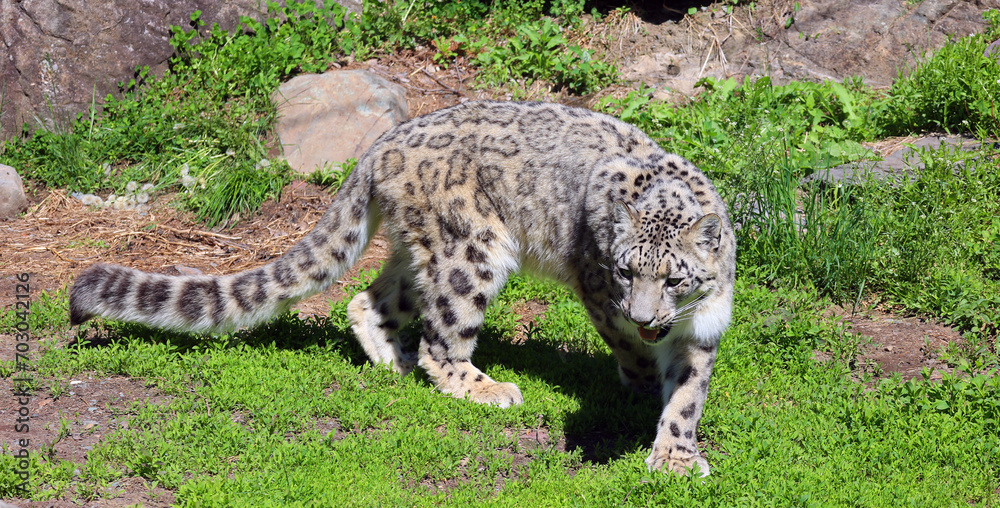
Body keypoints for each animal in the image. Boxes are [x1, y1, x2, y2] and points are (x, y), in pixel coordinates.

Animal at [69, 100, 736, 476]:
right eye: (625, 270)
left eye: (674, 277)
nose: (645, 316)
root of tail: (383, 144)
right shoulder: (598, 294)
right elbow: (635, 358)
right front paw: (640, 388)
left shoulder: (703, 329)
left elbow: (687, 396)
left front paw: (676, 456)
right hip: (474, 250)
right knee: (445, 339)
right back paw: (485, 387)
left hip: (423, 255)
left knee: (368, 299)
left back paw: (396, 360)